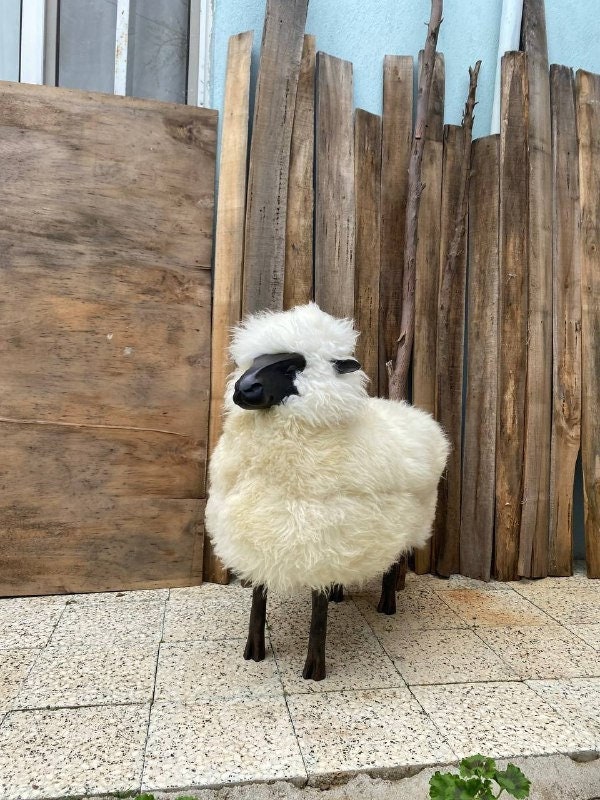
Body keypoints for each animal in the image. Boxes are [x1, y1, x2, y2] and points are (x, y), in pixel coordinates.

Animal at [205, 302, 449, 680]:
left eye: (292, 366)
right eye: (256, 360)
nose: (243, 390)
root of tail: (413, 411)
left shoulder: (317, 536)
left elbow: (317, 614)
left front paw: (314, 668)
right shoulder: (259, 530)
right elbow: (258, 596)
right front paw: (254, 650)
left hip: (401, 521)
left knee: (394, 564)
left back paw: (387, 604)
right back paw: (339, 591)